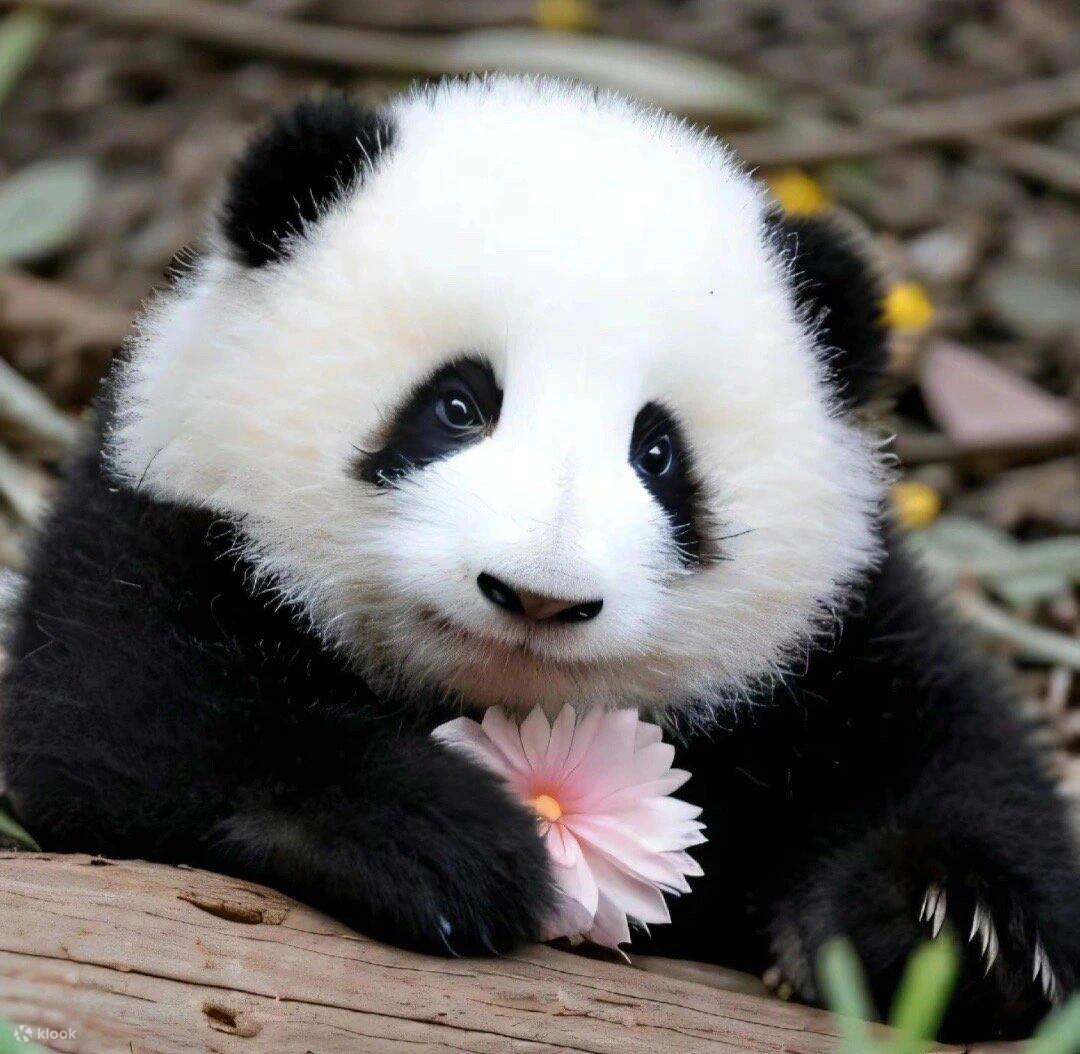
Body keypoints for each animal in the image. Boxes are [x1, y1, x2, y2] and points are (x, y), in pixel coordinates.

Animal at [1, 76, 1076, 1040]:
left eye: (658, 454)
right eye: (457, 404)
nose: (538, 595)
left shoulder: (835, 633)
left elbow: (950, 750)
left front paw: (949, 924)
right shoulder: (154, 524)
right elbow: (121, 726)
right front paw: (446, 841)